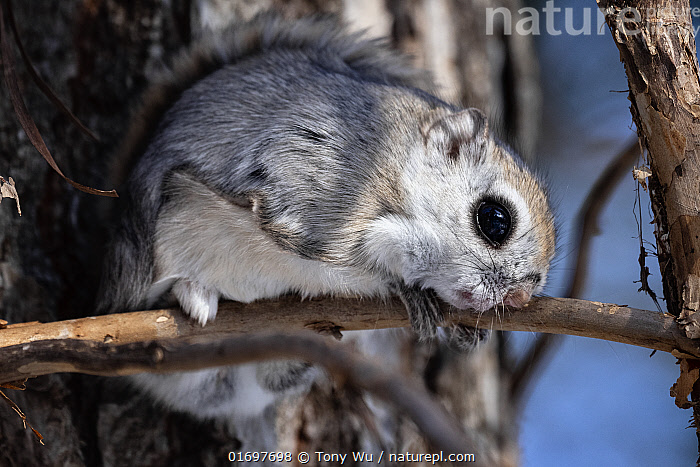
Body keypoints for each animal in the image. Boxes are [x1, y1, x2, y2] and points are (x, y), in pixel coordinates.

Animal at [98, 13, 556, 421]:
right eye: (494, 219)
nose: (520, 297)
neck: (395, 175)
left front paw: (465, 329)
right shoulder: (305, 189)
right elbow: (345, 260)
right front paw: (406, 290)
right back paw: (194, 295)